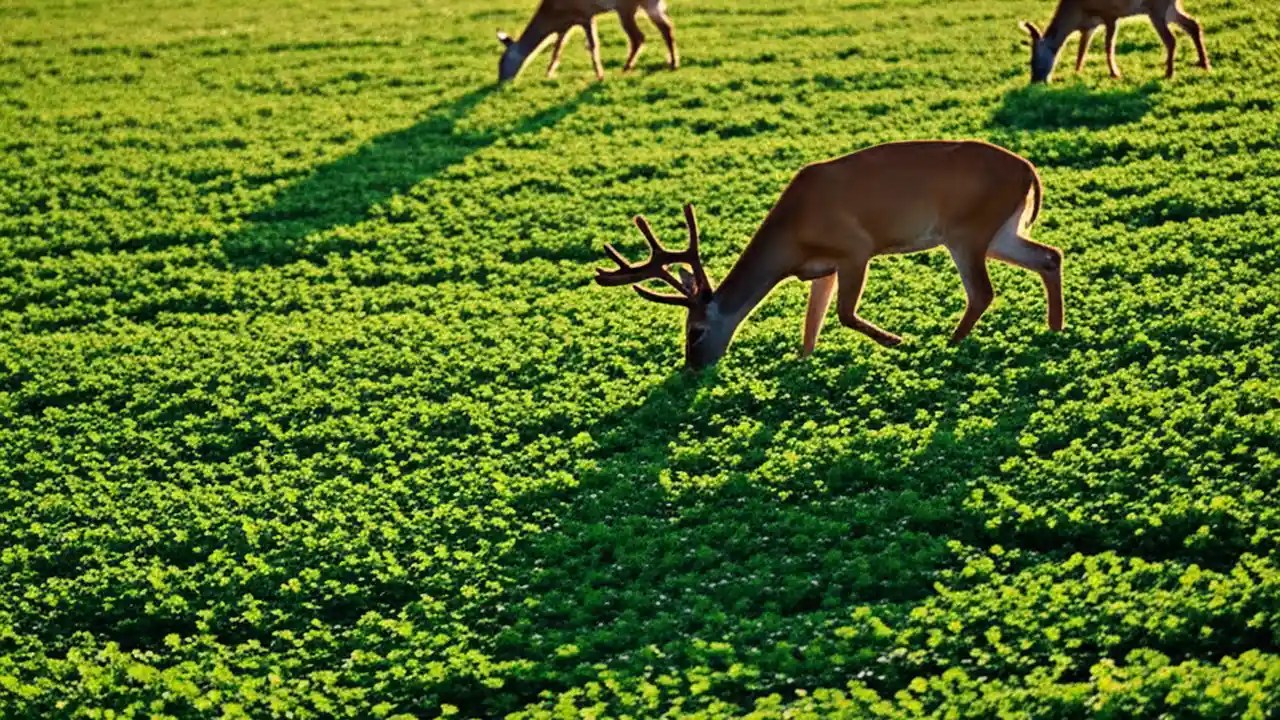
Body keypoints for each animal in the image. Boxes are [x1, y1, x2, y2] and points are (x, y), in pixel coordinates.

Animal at [496, 0, 678, 82]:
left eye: (502, 62)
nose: (501, 81)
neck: (553, 17)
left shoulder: (584, 15)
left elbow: (592, 45)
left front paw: (599, 75)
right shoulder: (566, 26)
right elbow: (557, 49)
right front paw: (548, 73)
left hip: (626, 7)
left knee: (638, 37)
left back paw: (626, 68)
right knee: (667, 28)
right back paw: (673, 64)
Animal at [595, 141, 1065, 371]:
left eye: (695, 332)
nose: (692, 369)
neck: (793, 235)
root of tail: (1029, 169)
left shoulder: (855, 248)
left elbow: (843, 314)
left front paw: (896, 340)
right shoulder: (822, 268)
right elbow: (812, 323)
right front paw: (803, 363)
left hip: (967, 229)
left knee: (982, 292)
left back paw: (948, 344)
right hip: (1001, 230)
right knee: (1050, 256)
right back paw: (1054, 330)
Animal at [1020, 0, 1210, 83]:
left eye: (1033, 61)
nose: (1035, 80)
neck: (1076, 13)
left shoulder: (1110, 15)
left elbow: (1108, 46)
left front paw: (1115, 73)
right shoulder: (1088, 27)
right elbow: (1082, 49)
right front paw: (1077, 71)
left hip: (1157, 8)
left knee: (1171, 39)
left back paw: (1169, 73)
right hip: (1170, 8)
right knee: (1193, 25)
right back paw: (1203, 64)